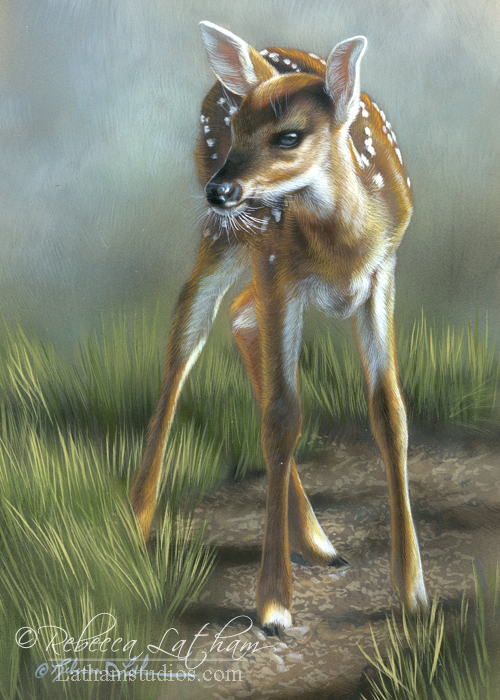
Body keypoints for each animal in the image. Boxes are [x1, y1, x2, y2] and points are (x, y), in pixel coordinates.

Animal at [128, 21, 427, 633]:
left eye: (289, 137)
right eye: (239, 129)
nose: (220, 190)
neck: (343, 246)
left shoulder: (380, 275)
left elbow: (390, 412)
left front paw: (411, 590)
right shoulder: (276, 265)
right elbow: (282, 418)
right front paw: (273, 605)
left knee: (238, 317)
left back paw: (319, 544)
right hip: (229, 238)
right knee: (186, 331)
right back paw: (136, 524)